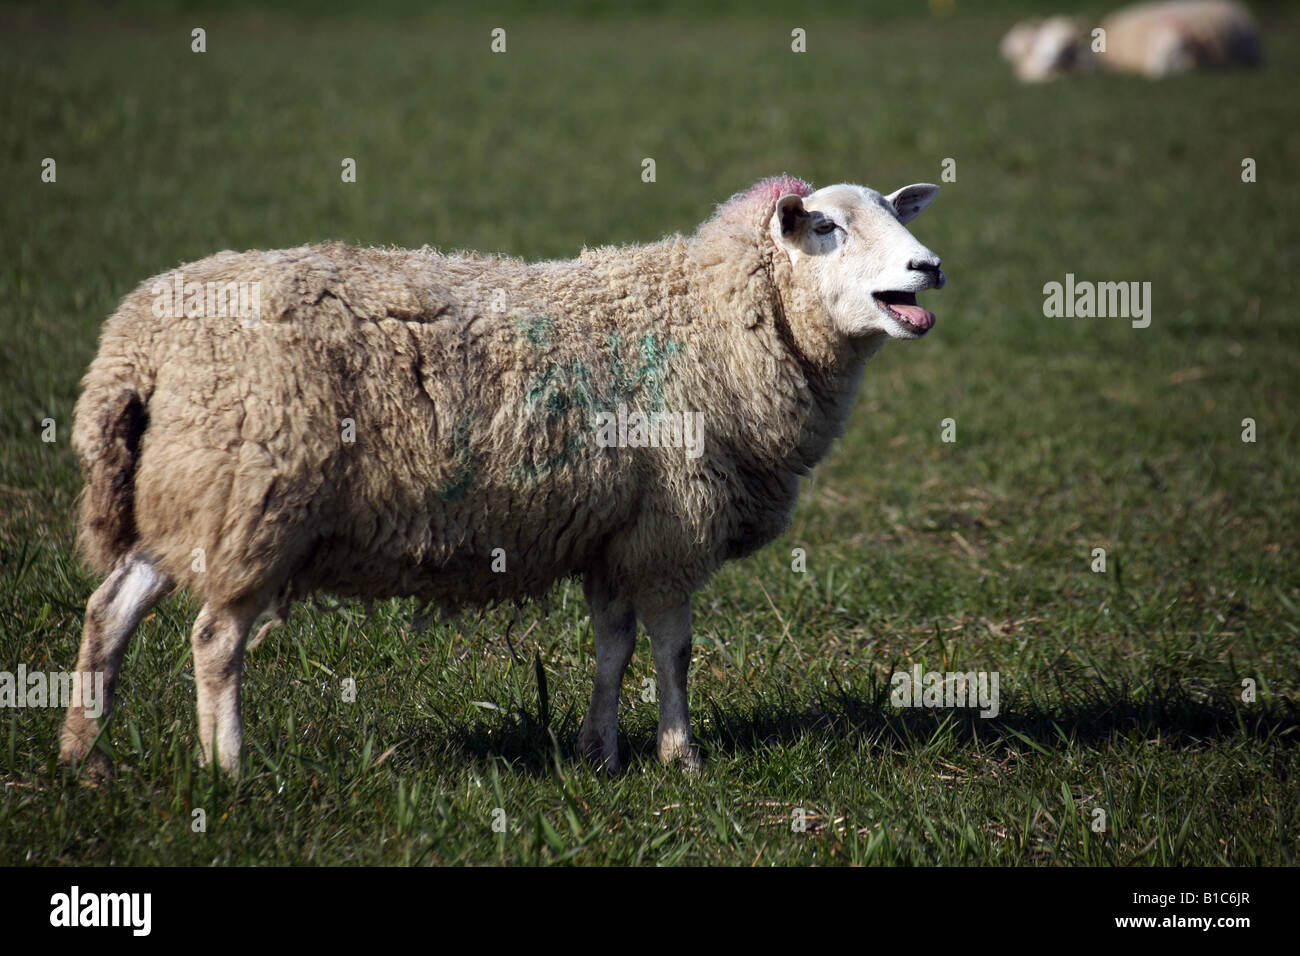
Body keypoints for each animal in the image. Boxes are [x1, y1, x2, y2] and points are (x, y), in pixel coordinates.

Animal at [60, 174, 946, 778]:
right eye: (825, 225)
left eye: (897, 212)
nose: (929, 266)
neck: (710, 318)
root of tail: (134, 345)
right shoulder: (672, 530)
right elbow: (674, 650)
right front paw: (681, 757)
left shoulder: (615, 530)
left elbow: (614, 645)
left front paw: (599, 752)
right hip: (253, 504)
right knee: (215, 639)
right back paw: (230, 769)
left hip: (180, 502)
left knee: (110, 611)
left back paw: (82, 756)